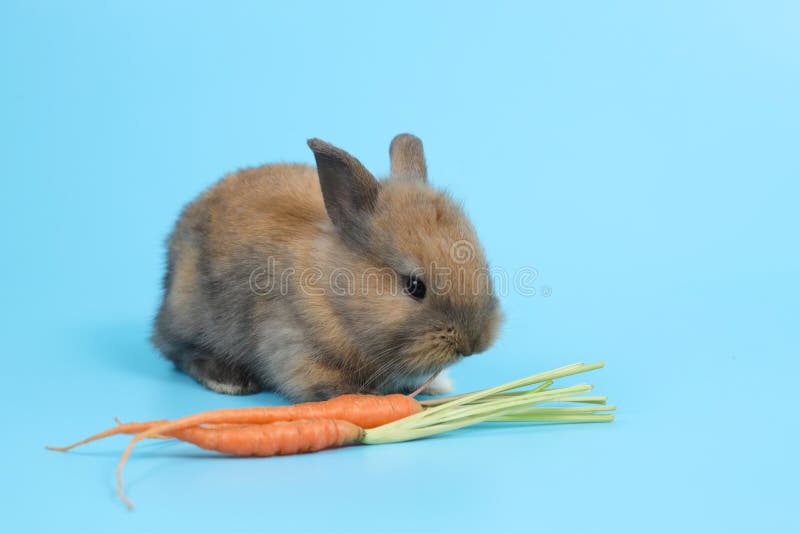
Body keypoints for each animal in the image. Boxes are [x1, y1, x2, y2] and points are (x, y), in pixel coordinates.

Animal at [151, 134, 502, 402]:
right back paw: (229, 380)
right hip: (190, 314)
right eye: (414, 287)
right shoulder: (292, 345)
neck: (335, 294)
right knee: (177, 351)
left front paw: (438, 385)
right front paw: (370, 399)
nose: (473, 343)